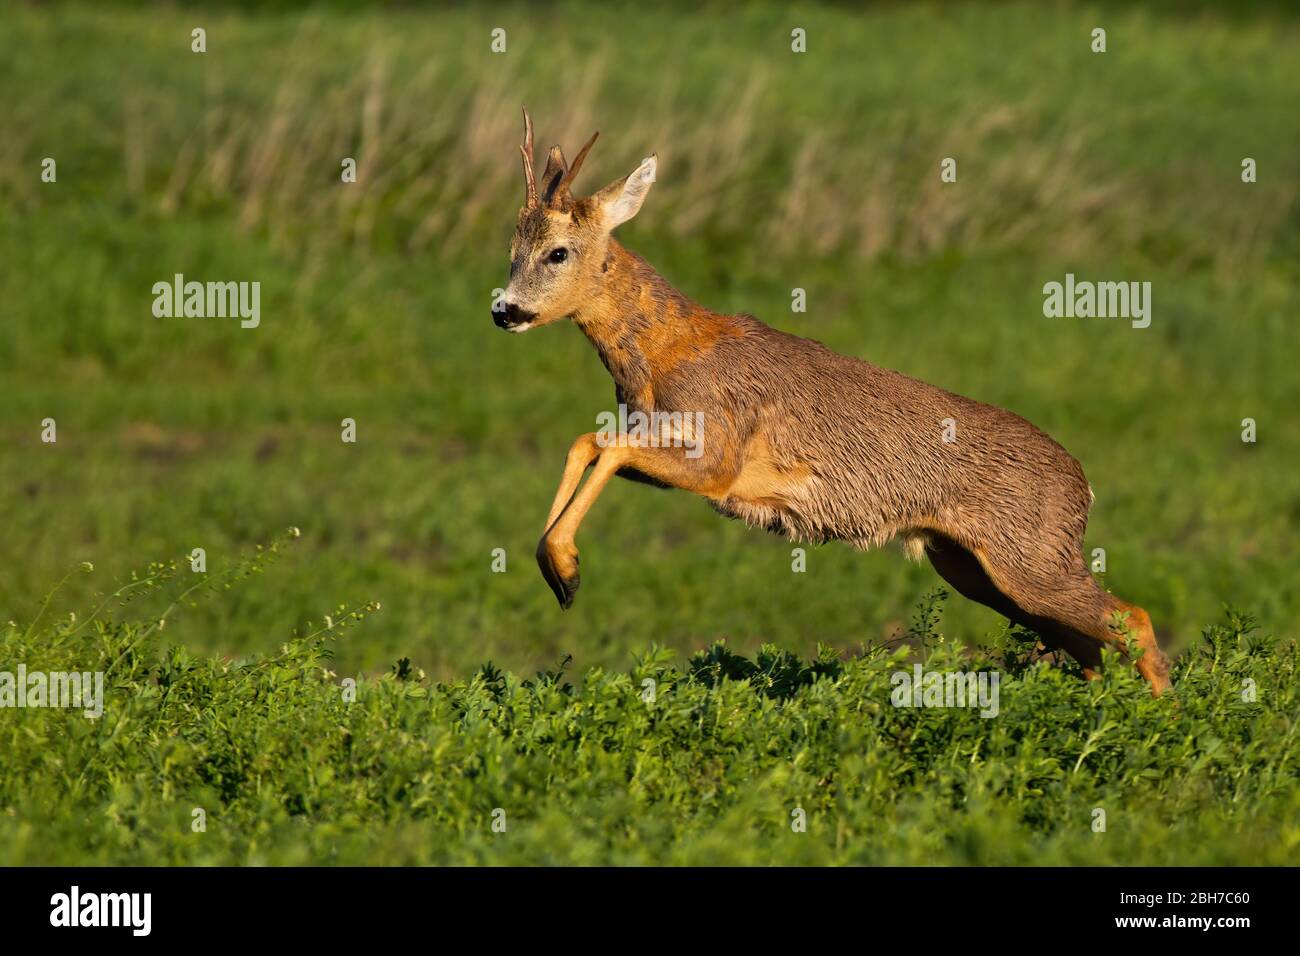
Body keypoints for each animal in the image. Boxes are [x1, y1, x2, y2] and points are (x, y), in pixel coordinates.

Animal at [495, 109, 1172, 697]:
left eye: (559, 251)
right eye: (510, 252)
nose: (505, 310)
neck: (663, 358)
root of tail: (1083, 487)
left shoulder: (717, 459)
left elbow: (603, 446)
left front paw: (566, 569)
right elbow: (586, 440)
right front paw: (559, 570)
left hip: (1027, 560)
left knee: (1132, 620)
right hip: (970, 566)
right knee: (1088, 644)